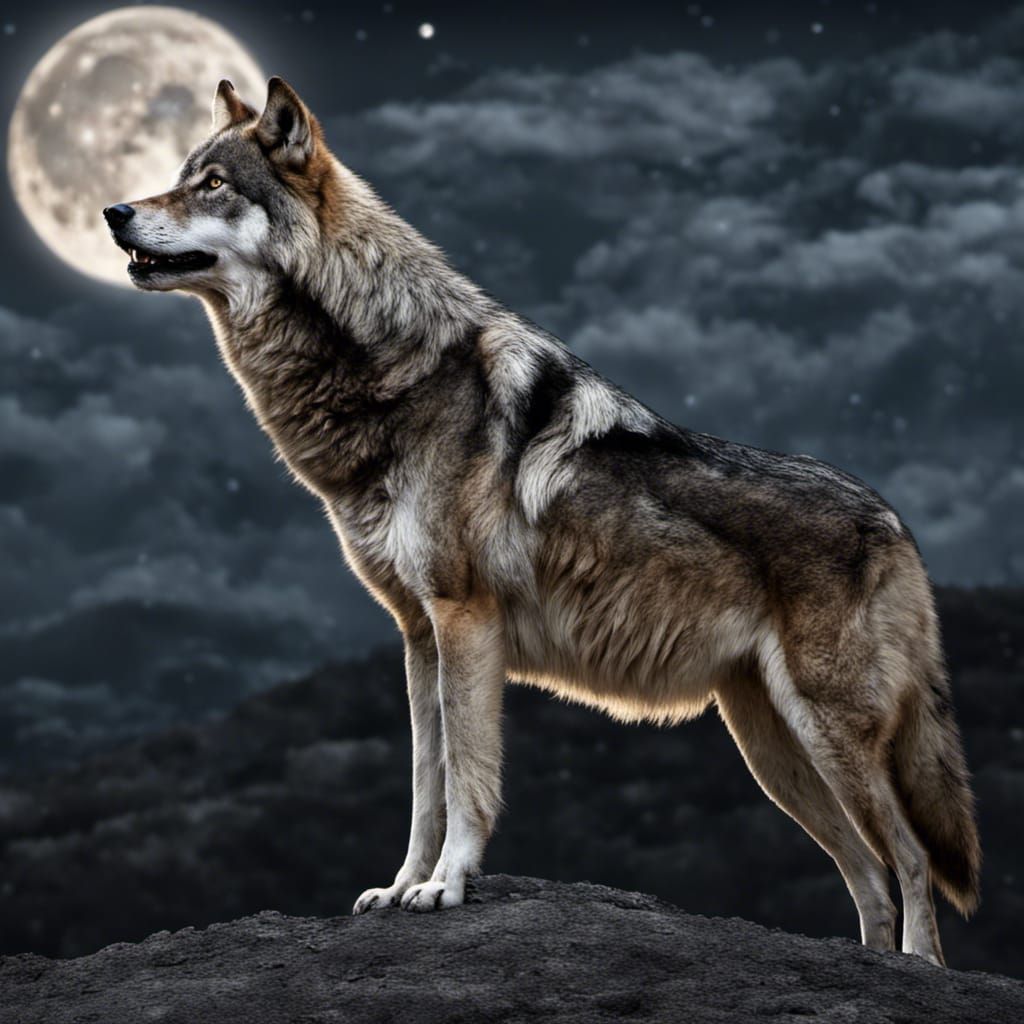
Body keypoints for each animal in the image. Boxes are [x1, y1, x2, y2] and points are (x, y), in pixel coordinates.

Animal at [103, 77, 980, 965]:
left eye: (213, 183)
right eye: (180, 175)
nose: (112, 210)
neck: (389, 375)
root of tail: (898, 524)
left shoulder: (464, 621)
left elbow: (466, 779)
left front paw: (444, 888)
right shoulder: (418, 636)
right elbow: (425, 785)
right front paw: (400, 886)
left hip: (826, 735)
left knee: (909, 860)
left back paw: (920, 969)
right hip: (771, 748)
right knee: (868, 874)